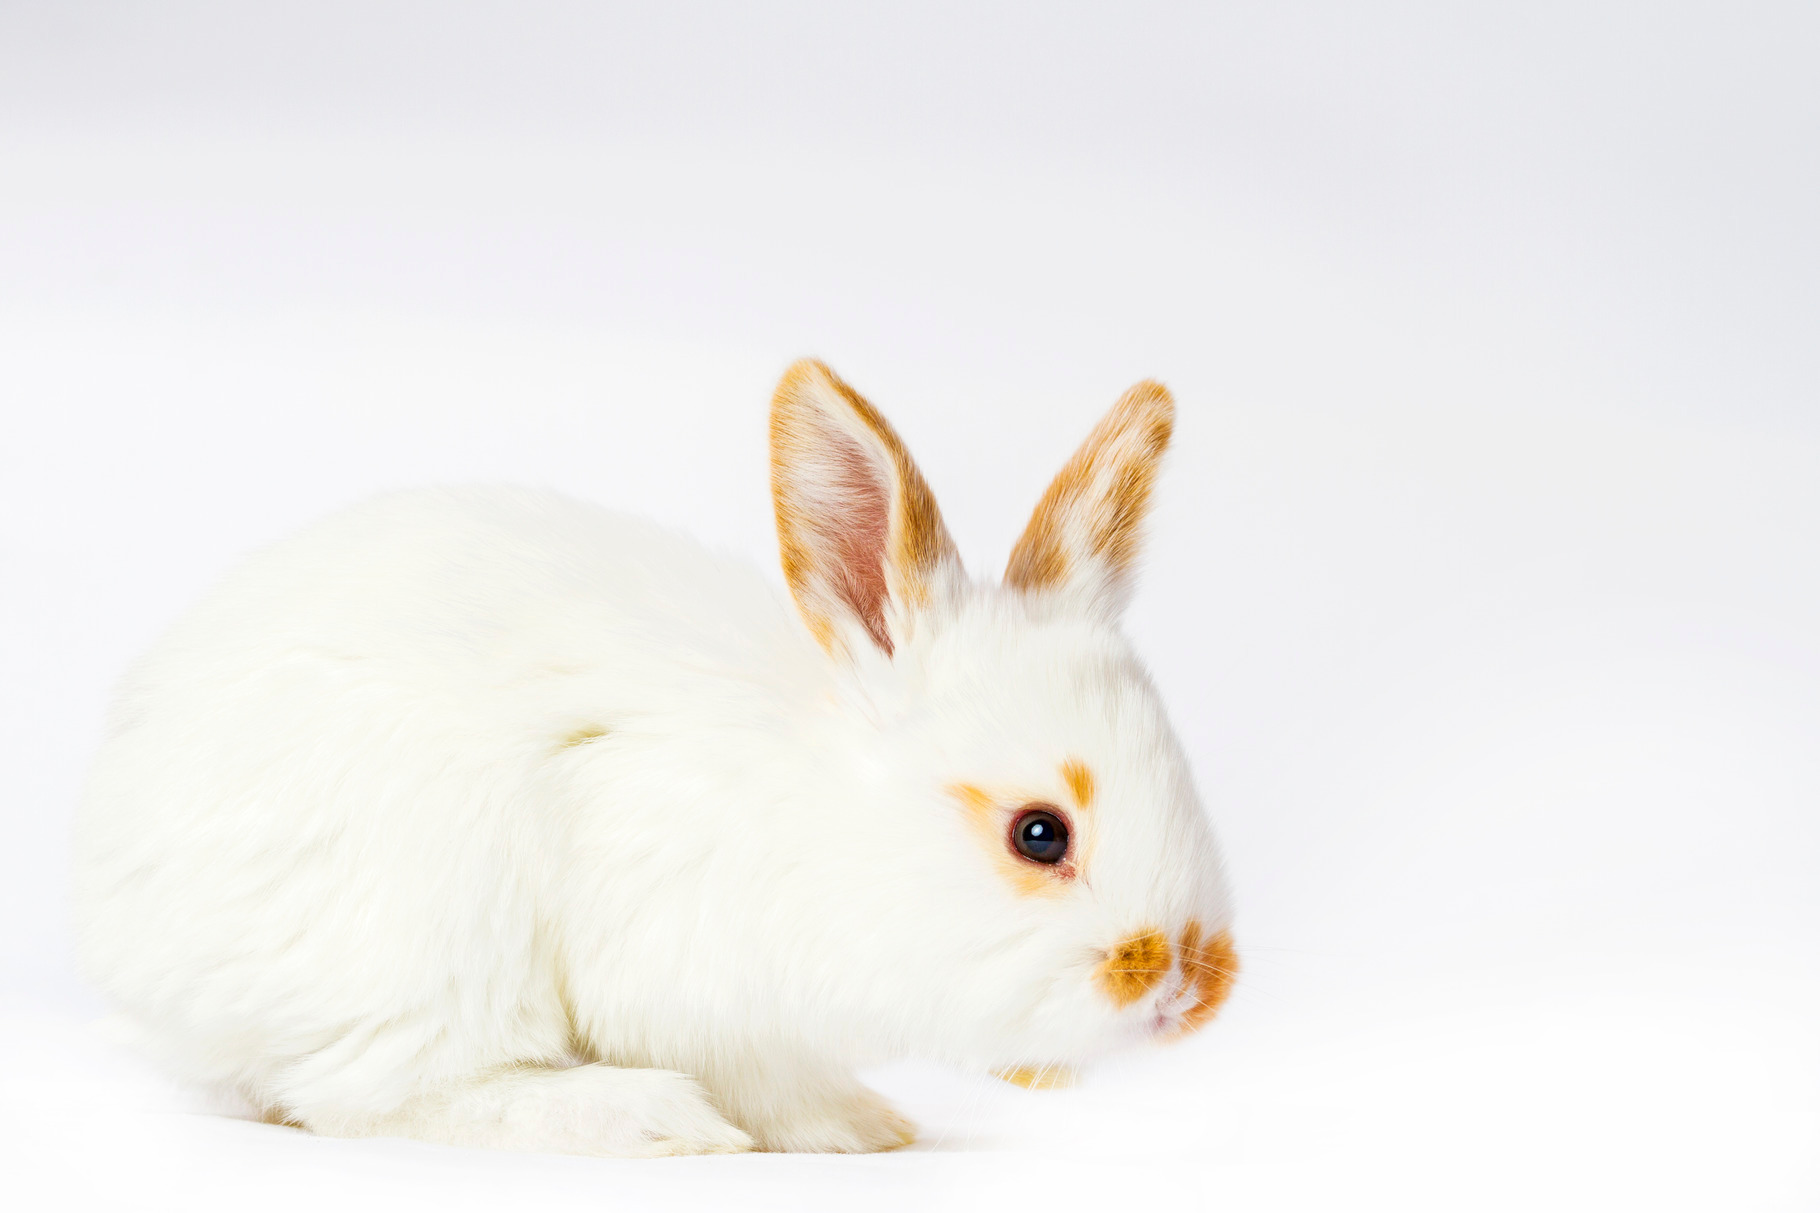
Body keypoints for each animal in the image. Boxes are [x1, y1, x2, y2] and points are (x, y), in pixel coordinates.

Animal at [70, 359, 1237, 1156]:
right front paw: (849, 1127)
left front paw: (870, 1125)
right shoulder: (684, 975)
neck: (819, 818)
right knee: (378, 1095)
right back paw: (645, 1116)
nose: (1197, 990)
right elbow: (758, 1077)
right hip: (425, 942)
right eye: (1039, 834)